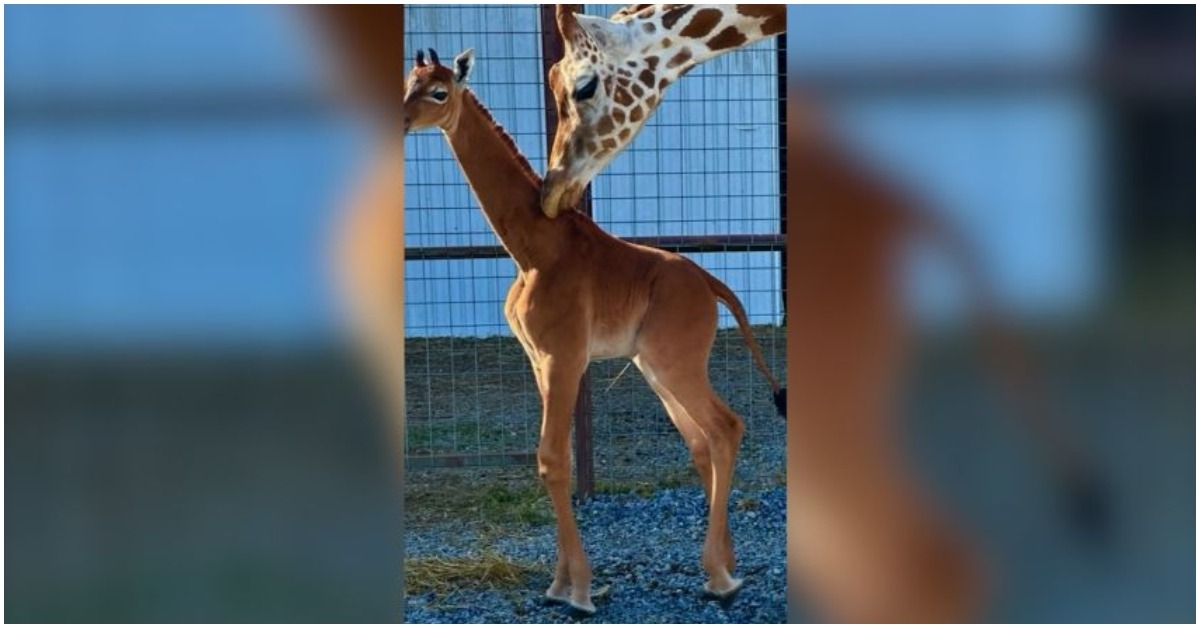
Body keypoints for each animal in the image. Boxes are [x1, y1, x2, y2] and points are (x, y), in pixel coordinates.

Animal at [403, 48, 786, 617]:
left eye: (439, 92)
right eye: (407, 83)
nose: (402, 119)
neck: (534, 249)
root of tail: (712, 285)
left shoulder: (563, 356)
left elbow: (551, 459)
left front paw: (579, 591)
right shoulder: (539, 359)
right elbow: (554, 458)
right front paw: (560, 584)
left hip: (676, 361)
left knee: (725, 427)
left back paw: (720, 577)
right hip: (655, 368)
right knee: (701, 439)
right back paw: (726, 564)